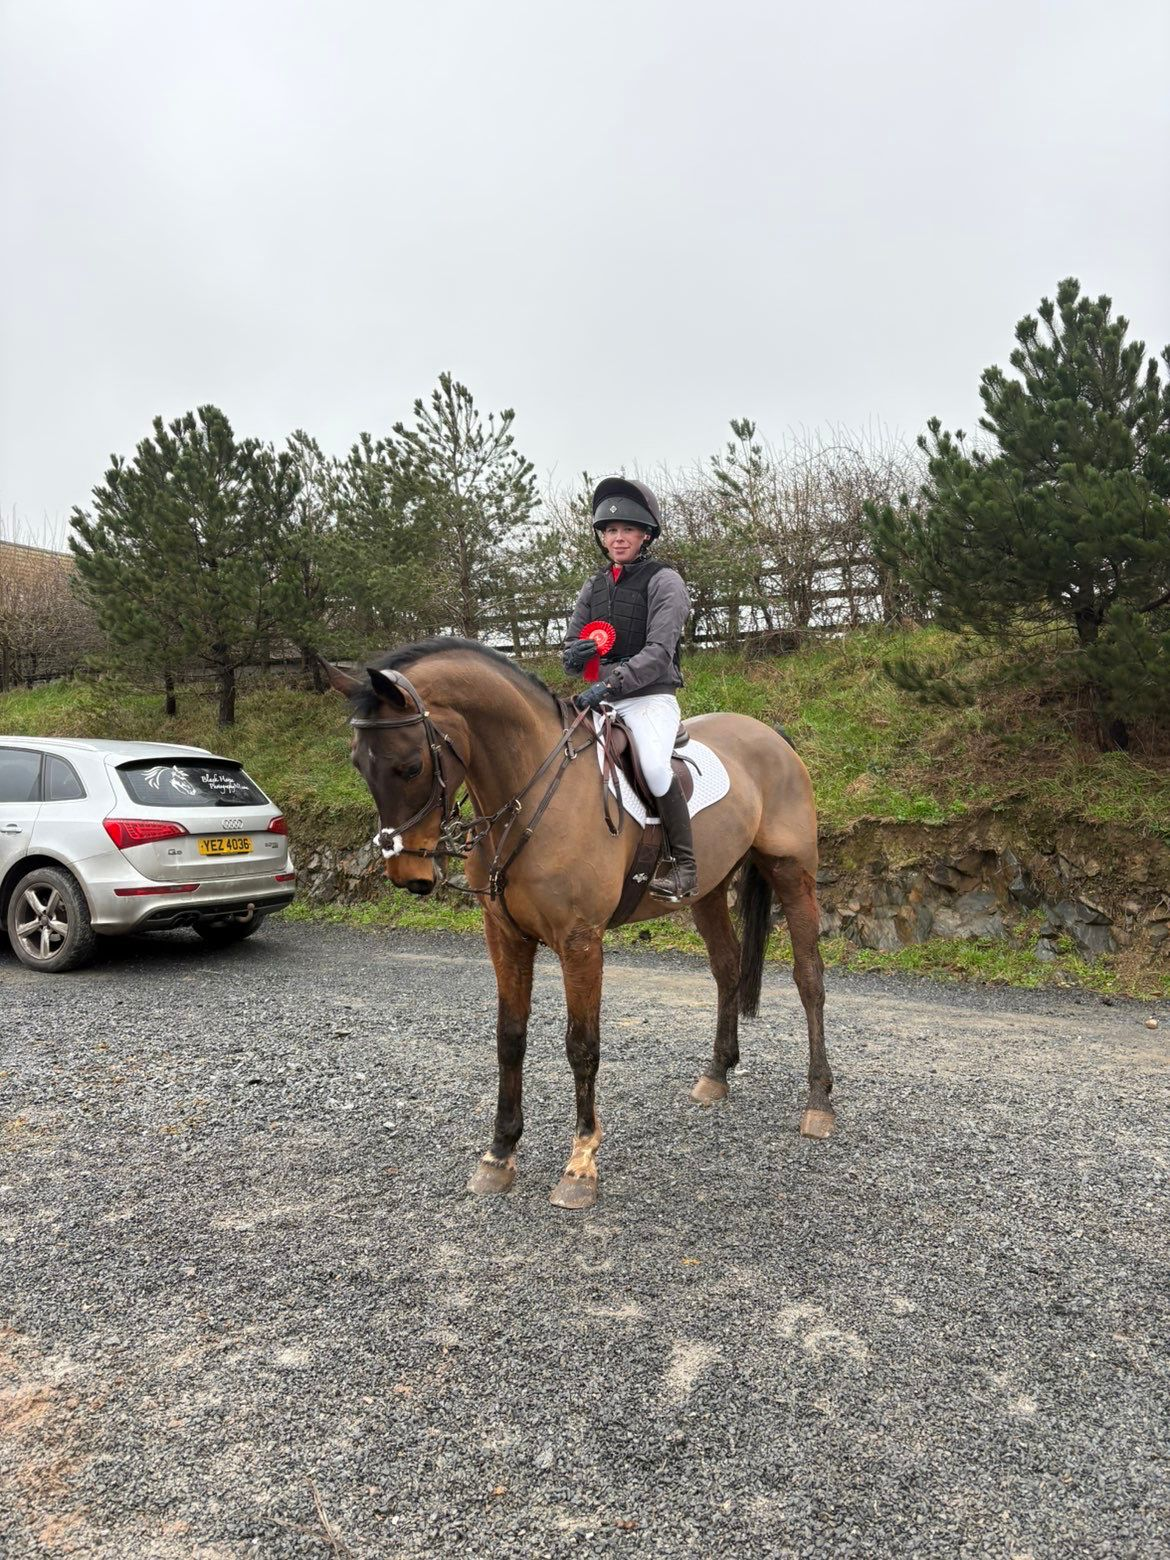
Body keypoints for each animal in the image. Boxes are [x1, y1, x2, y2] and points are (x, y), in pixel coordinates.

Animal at [324, 639, 833, 1210]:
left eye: (410, 767)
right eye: (358, 764)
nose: (406, 875)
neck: (530, 797)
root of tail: (772, 736)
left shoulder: (580, 941)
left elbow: (582, 1046)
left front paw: (581, 1163)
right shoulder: (505, 937)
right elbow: (510, 1037)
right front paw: (499, 1154)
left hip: (792, 875)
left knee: (809, 980)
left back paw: (818, 1103)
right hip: (706, 890)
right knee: (727, 969)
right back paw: (716, 1075)